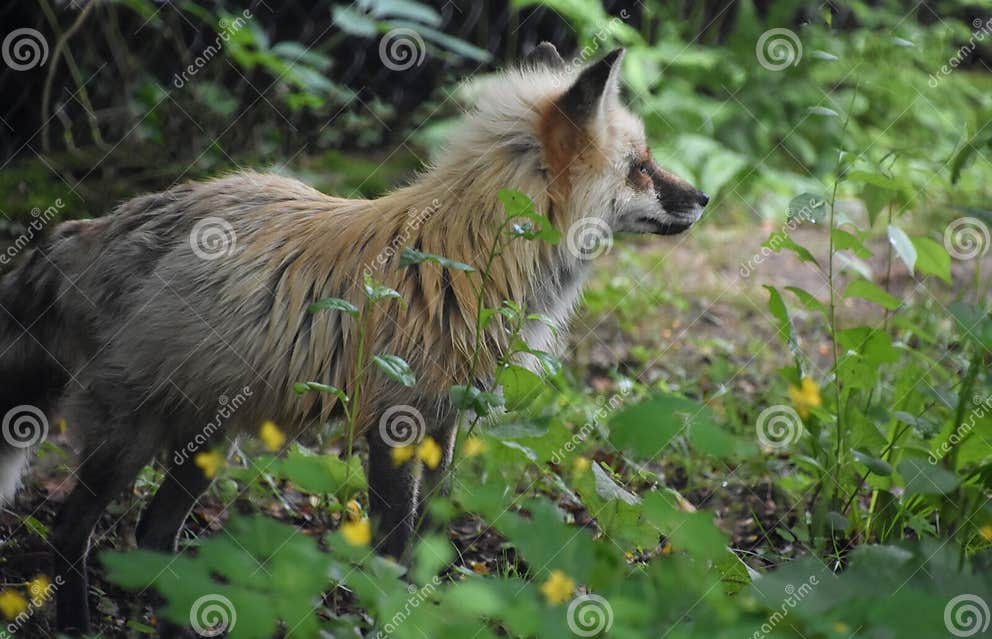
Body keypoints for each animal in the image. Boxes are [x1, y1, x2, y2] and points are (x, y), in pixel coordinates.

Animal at [0, 43, 708, 634]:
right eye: (641, 168)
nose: (703, 197)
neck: (464, 261)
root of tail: (98, 224)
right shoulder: (393, 422)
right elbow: (393, 556)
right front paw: (393, 613)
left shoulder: (446, 421)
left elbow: (429, 540)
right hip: (131, 434)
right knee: (69, 535)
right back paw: (77, 626)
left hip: (210, 441)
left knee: (153, 537)